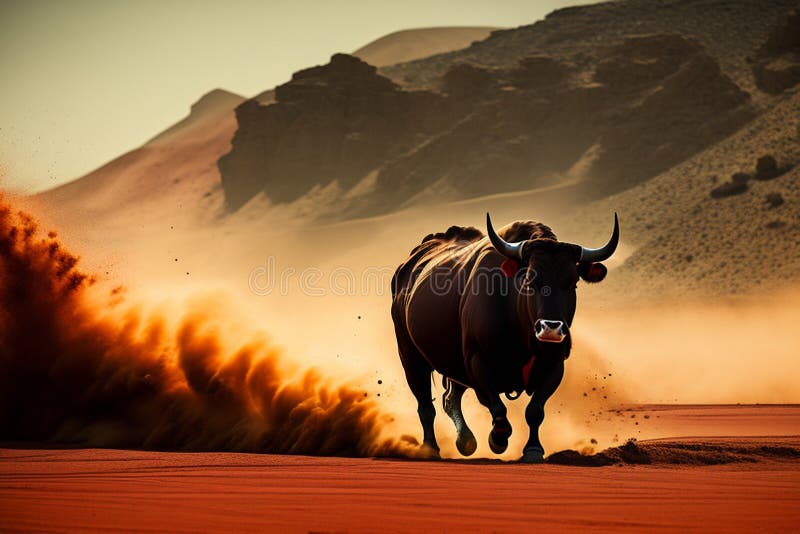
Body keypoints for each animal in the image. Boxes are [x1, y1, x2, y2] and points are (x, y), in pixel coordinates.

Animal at [390, 213, 618, 462]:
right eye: (529, 281)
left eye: (573, 283)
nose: (551, 329)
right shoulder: (478, 363)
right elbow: (498, 409)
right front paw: (498, 440)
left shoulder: (554, 365)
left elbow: (535, 410)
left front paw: (533, 449)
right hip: (411, 358)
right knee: (426, 406)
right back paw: (431, 448)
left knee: (450, 399)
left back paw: (465, 440)